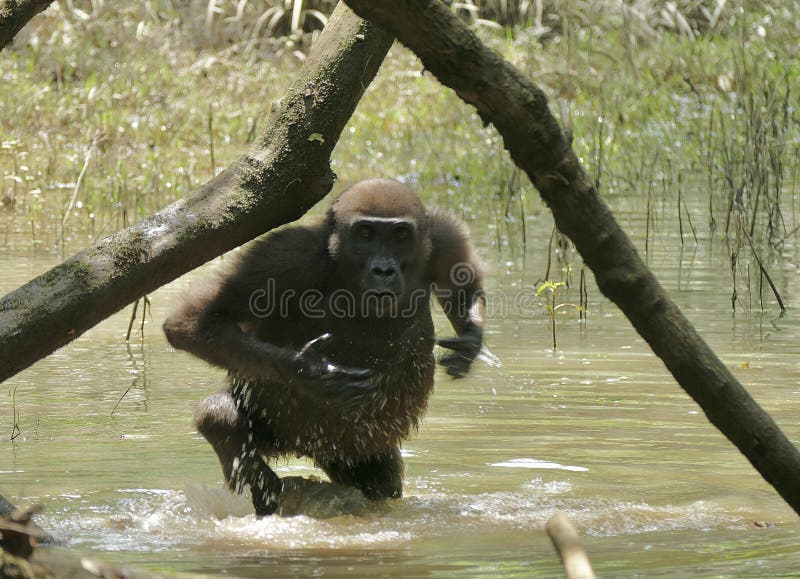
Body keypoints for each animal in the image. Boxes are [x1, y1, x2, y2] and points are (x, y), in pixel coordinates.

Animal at [163, 179, 485, 515]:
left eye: (400, 235)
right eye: (365, 234)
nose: (383, 270)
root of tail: (306, 451)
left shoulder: (441, 235)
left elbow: (462, 279)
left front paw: (471, 336)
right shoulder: (283, 256)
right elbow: (193, 321)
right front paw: (311, 374)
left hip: (354, 455)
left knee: (380, 481)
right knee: (218, 418)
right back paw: (268, 493)